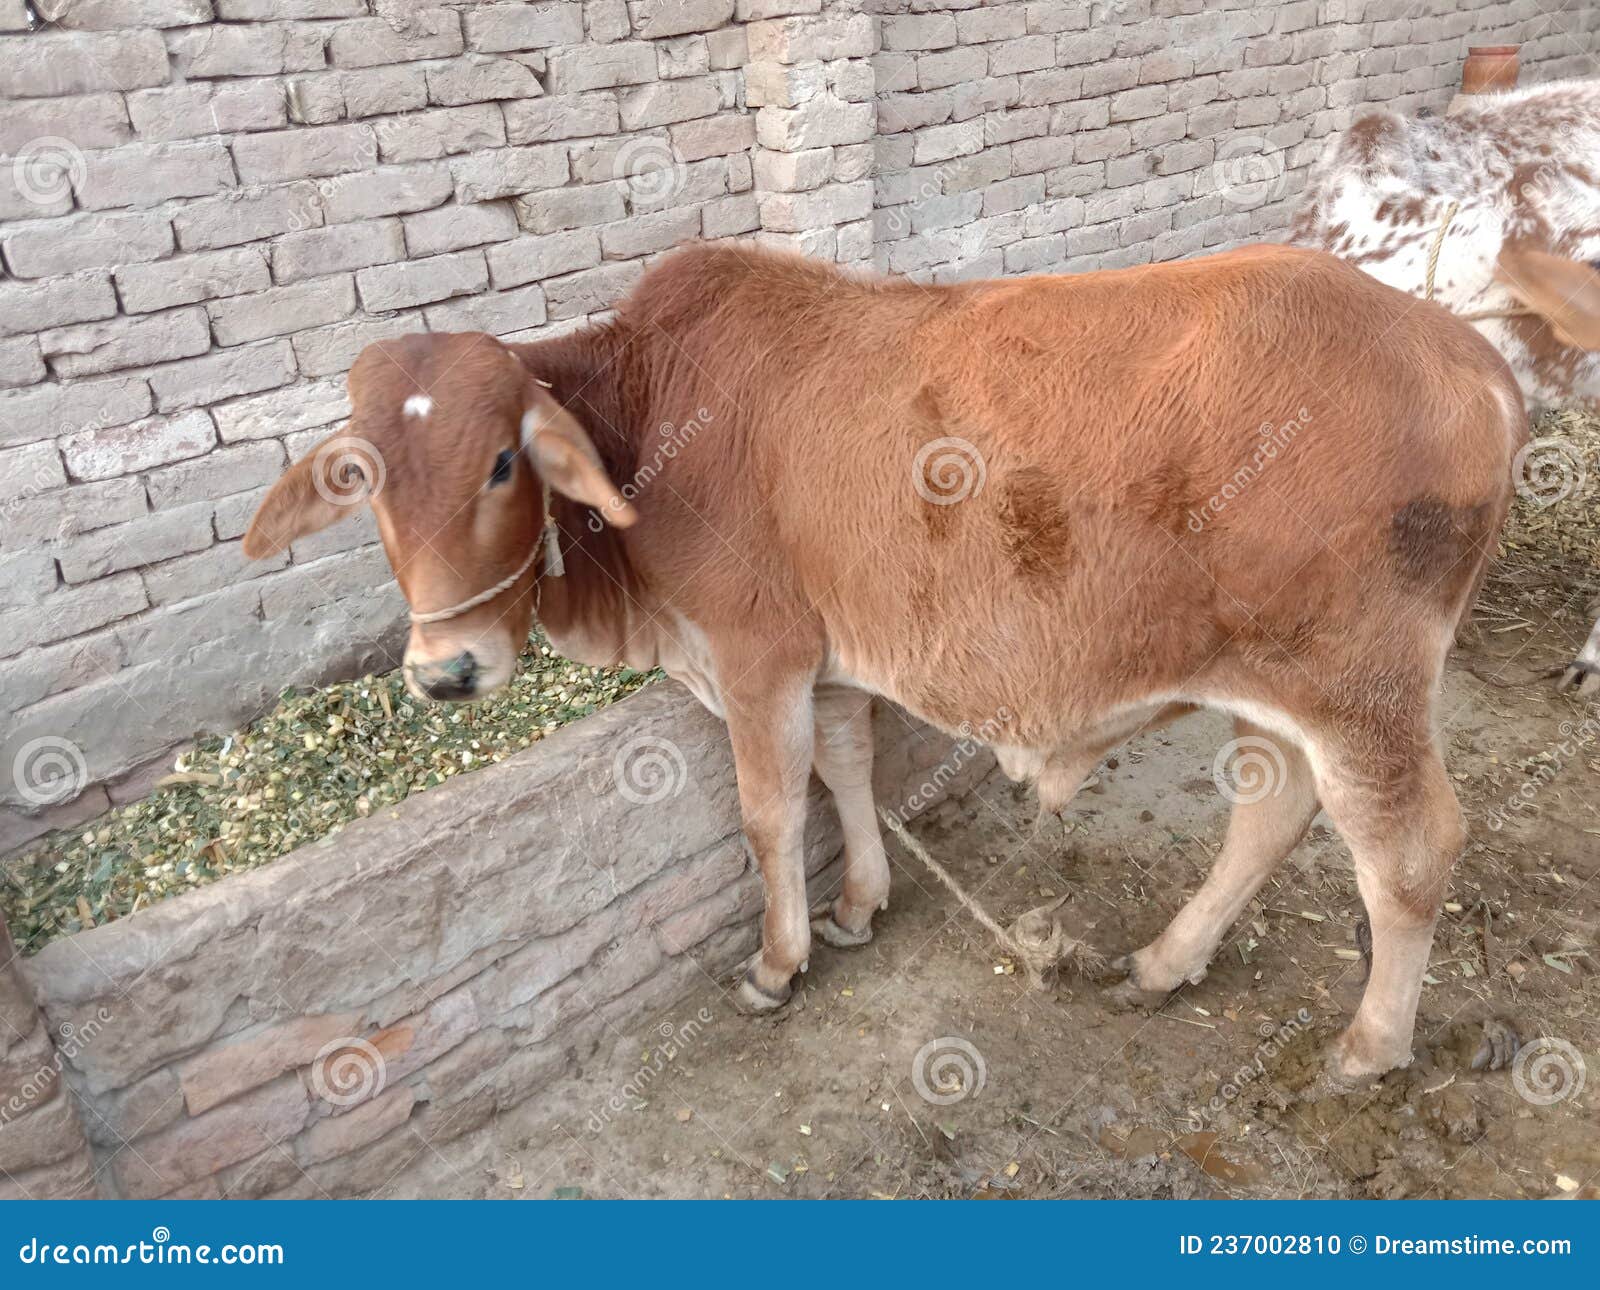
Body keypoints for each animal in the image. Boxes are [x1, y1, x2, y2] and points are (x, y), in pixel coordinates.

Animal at [242, 241, 1525, 1090]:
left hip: (1360, 692)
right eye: (359, 479)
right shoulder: (831, 661)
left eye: (504, 461)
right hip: (1275, 685)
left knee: (1409, 853)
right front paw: (860, 901)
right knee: (1270, 812)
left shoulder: (755, 653)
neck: (649, 410)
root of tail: (1464, 349)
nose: (446, 670)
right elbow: (848, 770)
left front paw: (778, 962)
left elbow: (768, 811)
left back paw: (1369, 1046)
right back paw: (1165, 962)